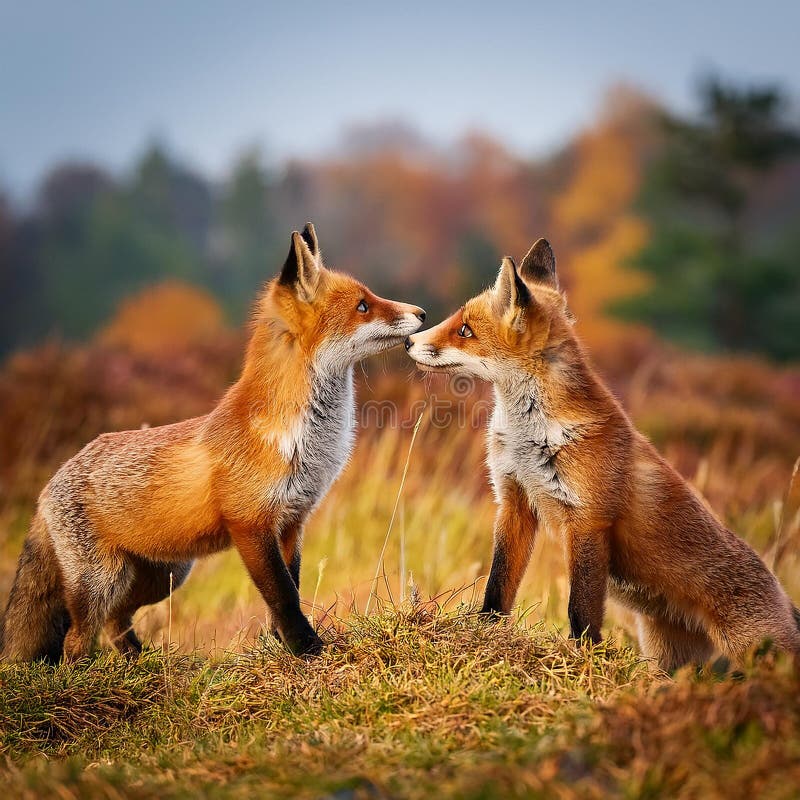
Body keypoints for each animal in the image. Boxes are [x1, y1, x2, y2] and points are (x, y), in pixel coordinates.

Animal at [0, 223, 426, 663]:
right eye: (363, 306)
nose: (422, 314)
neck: (303, 441)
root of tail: (50, 482)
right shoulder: (251, 525)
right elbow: (284, 595)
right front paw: (305, 647)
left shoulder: (292, 520)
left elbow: (292, 584)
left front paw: (281, 645)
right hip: (103, 579)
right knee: (78, 636)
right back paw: (84, 670)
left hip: (164, 575)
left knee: (117, 623)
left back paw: (137, 663)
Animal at [405, 238, 800, 671]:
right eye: (458, 322)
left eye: (465, 331)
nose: (409, 341)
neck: (531, 438)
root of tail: (783, 594)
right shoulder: (514, 501)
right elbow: (498, 584)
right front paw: (486, 632)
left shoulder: (588, 520)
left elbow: (581, 607)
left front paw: (582, 657)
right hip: (667, 655)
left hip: (754, 650)